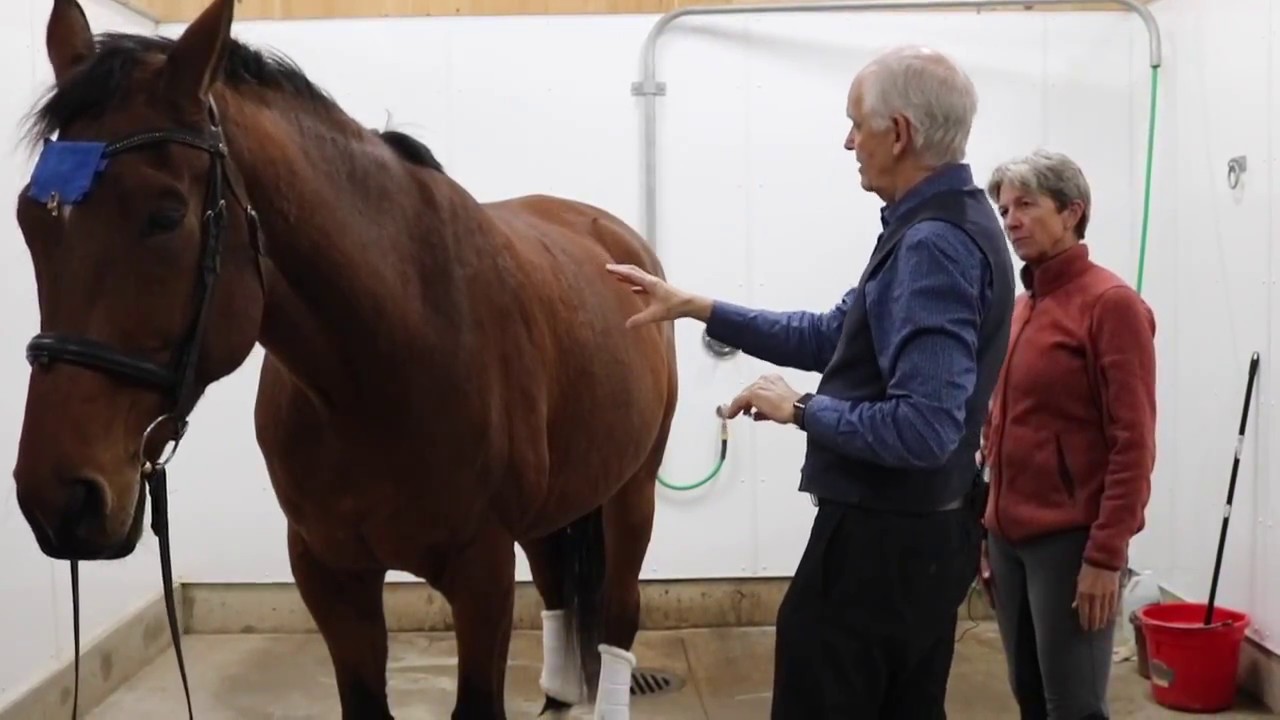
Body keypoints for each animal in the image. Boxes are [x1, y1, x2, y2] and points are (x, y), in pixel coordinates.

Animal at [10, 1, 679, 718]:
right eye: (28, 219)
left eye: (166, 216)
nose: (57, 498)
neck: (381, 368)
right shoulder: (329, 571)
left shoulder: (483, 572)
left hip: (633, 490)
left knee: (619, 612)